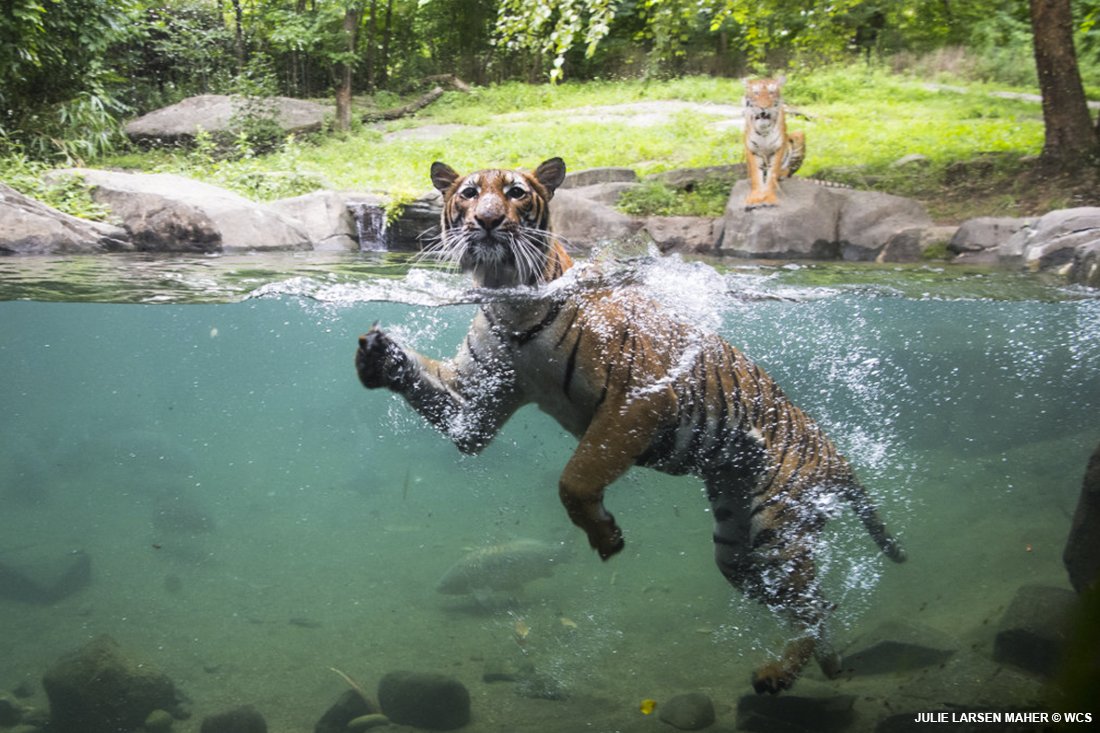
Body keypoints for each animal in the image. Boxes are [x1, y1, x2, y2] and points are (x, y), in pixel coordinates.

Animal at [355, 156, 906, 695]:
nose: (487, 221)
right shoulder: (475, 407)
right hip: (738, 550)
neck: (506, 296)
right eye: (468, 193)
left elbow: (575, 478)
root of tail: (836, 454)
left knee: (816, 603)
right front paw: (377, 353)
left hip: (776, 527)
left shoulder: (639, 400)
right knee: (812, 604)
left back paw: (782, 672)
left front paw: (606, 537)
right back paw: (817, 667)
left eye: (515, 193)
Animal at [743, 75, 805, 208]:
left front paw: (769, 197)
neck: (764, 130)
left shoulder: (777, 148)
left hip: (799, 134)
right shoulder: (752, 149)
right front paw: (755, 198)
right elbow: (756, 175)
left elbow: (772, 174)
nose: (763, 107)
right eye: (756, 93)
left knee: (788, 172)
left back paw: (782, 176)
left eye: (771, 92)